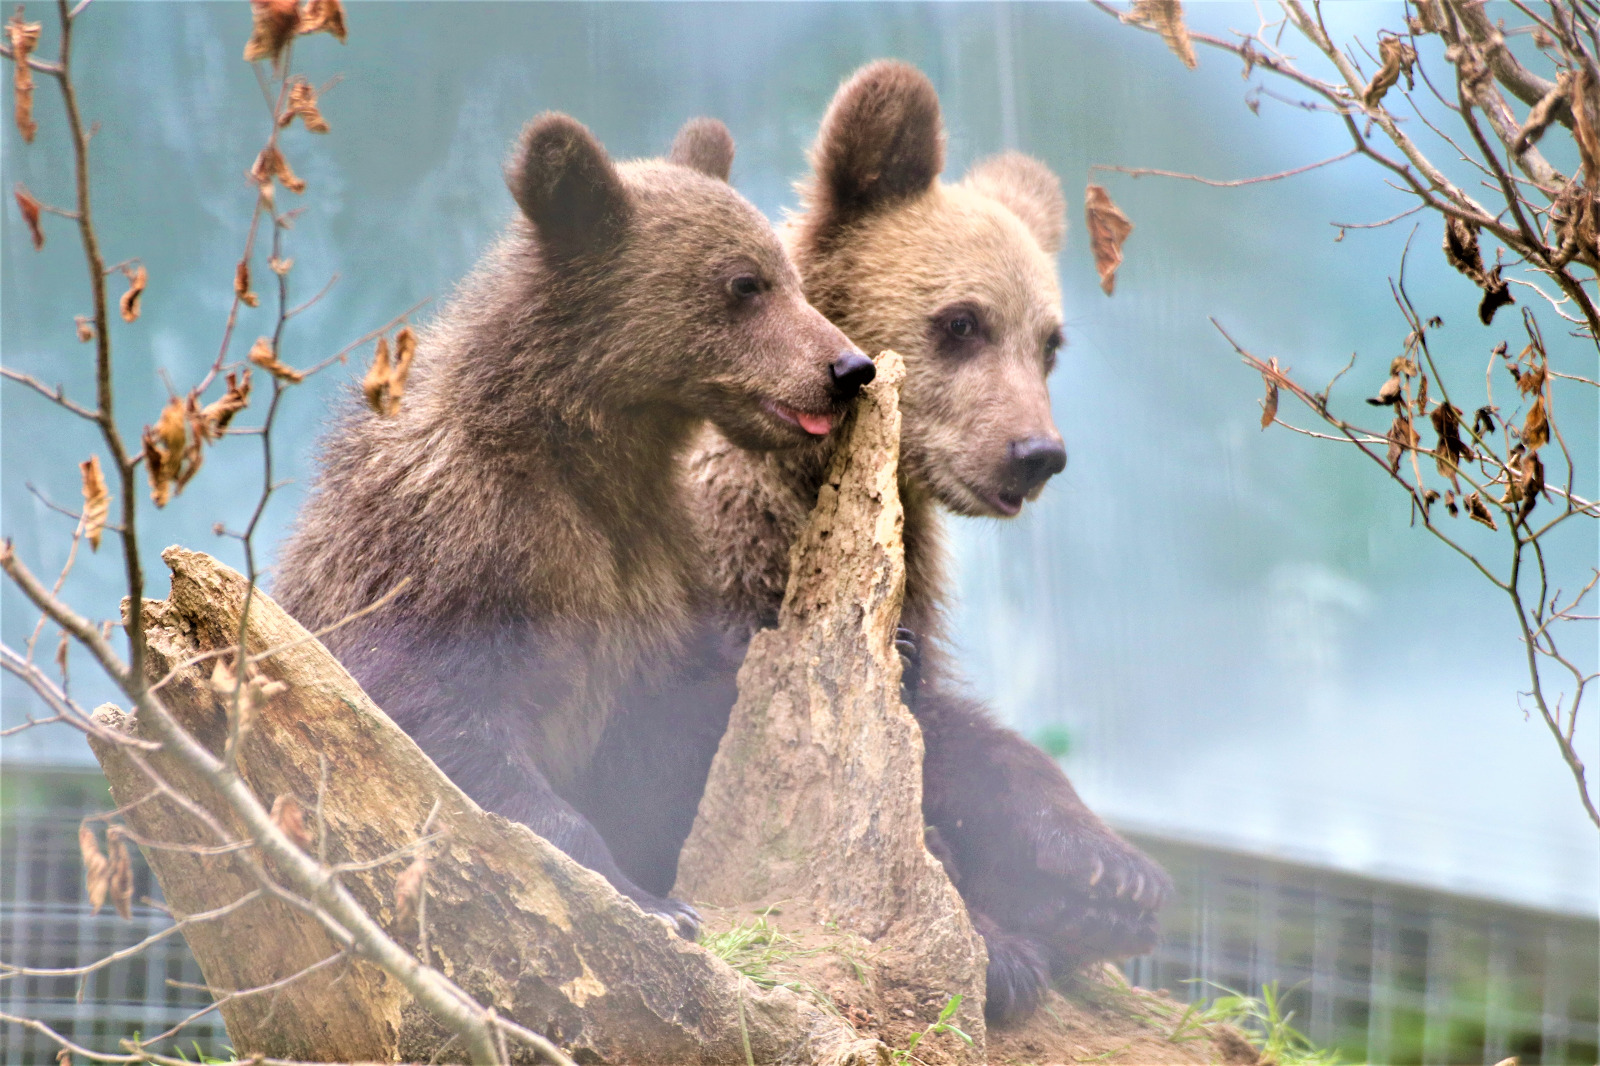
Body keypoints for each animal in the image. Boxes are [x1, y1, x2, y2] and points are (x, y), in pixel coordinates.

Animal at [272, 111, 871, 936]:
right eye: (744, 283)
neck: (585, 455)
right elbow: (447, 720)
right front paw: (654, 902)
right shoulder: (449, 546)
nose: (849, 367)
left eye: (793, 278)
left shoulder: (655, 569)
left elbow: (674, 722)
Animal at [567, 61, 1172, 1023]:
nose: (1035, 454)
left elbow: (943, 730)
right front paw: (1006, 949)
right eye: (961, 321)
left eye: (1049, 343)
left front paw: (1106, 876)